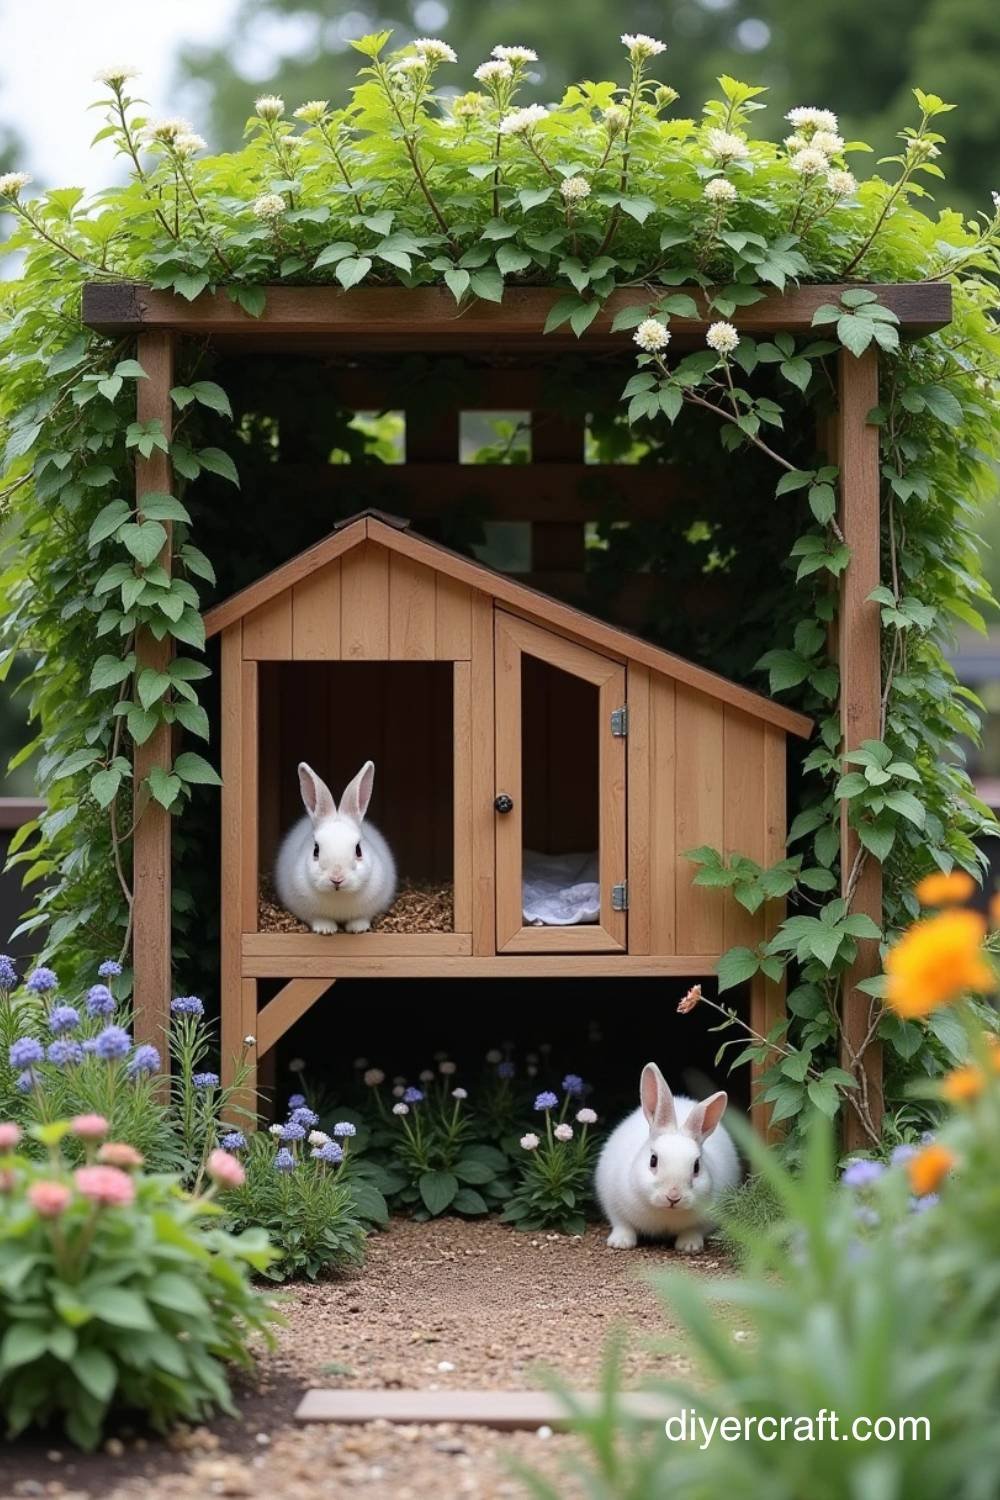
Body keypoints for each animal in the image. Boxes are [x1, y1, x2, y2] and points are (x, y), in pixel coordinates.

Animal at [274, 761, 397, 934]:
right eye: (316, 850)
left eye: (358, 850)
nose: (337, 879)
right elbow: (318, 919)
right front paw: (325, 929)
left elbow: (361, 918)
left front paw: (358, 928)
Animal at [595, 1062, 740, 1253]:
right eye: (653, 1160)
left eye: (696, 1167)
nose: (673, 1196)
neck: (666, 1213)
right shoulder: (613, 1203)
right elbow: (623, 1224)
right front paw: (620, 1242)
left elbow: (694, 1230)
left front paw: (689, 1246)